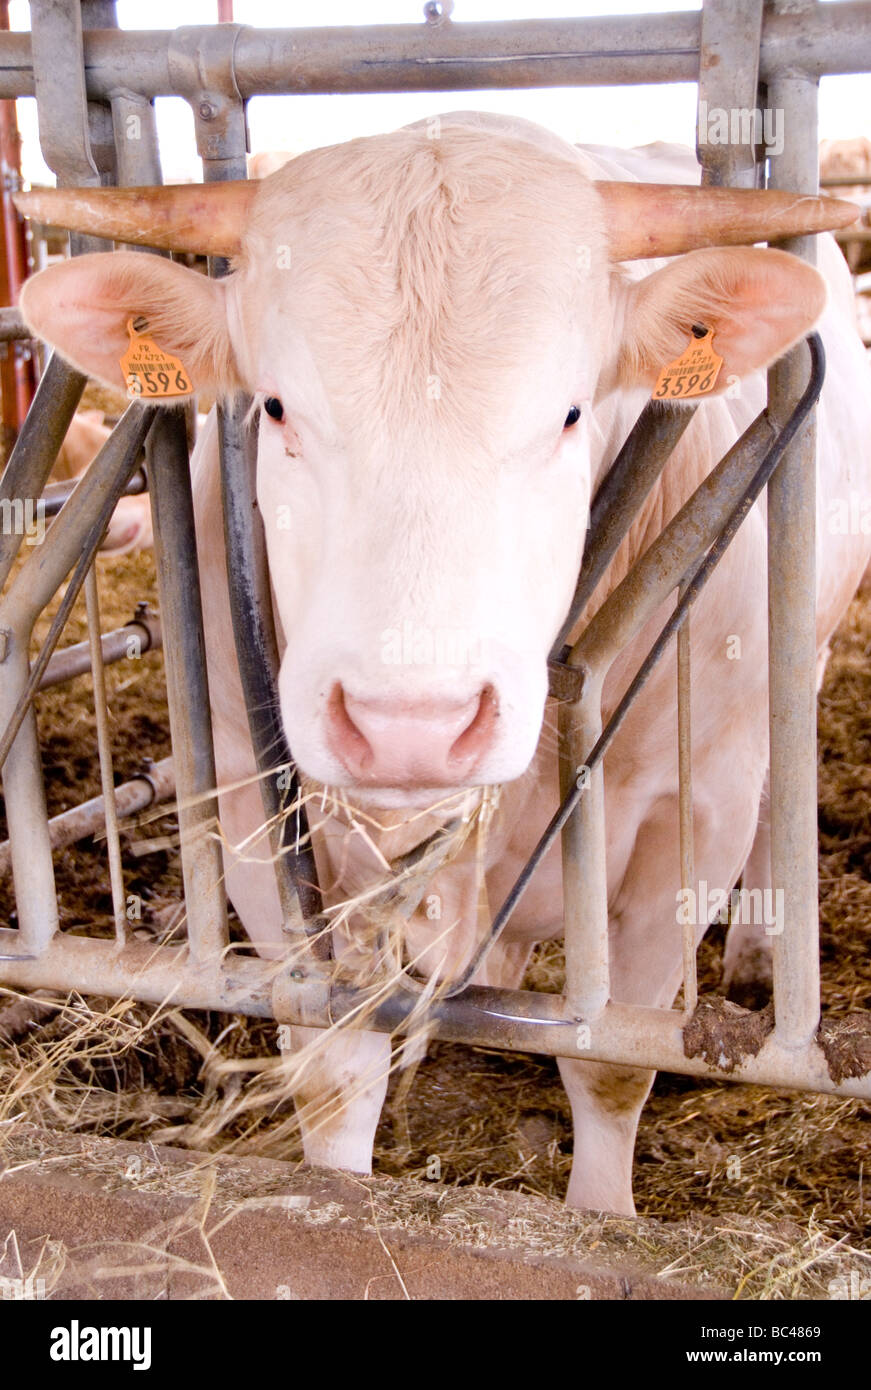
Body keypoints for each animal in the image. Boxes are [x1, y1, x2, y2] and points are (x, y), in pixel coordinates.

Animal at [15, 114, 871, 1215]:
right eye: (276, 408)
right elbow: (333, 1069)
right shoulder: (255, 814)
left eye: (571, 413)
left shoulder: (692, 812)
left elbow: (612, 1060)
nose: (407, 725)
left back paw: (764, 952)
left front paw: (602, 1214)